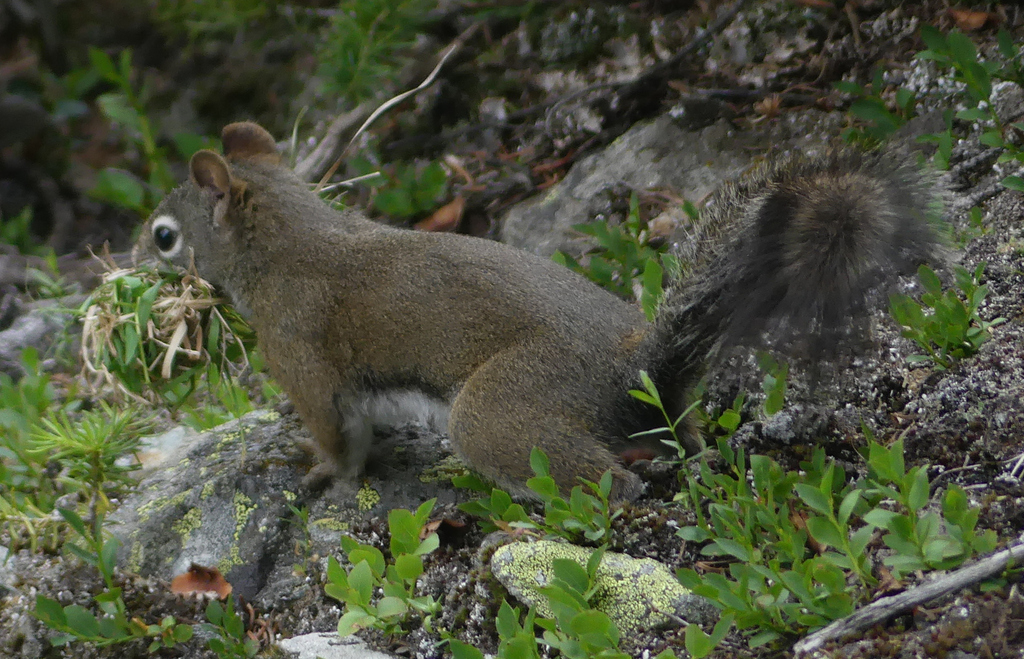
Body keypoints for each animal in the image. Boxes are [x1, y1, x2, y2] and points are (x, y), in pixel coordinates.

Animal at [132, 121, 944, 501]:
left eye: (165, 235)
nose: (133, 263)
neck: (292, 238)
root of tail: (637, 371)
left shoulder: (300, 349)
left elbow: (339, 434)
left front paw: (315, 471)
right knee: (680, 449)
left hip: (502, 409)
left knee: (611, 487)